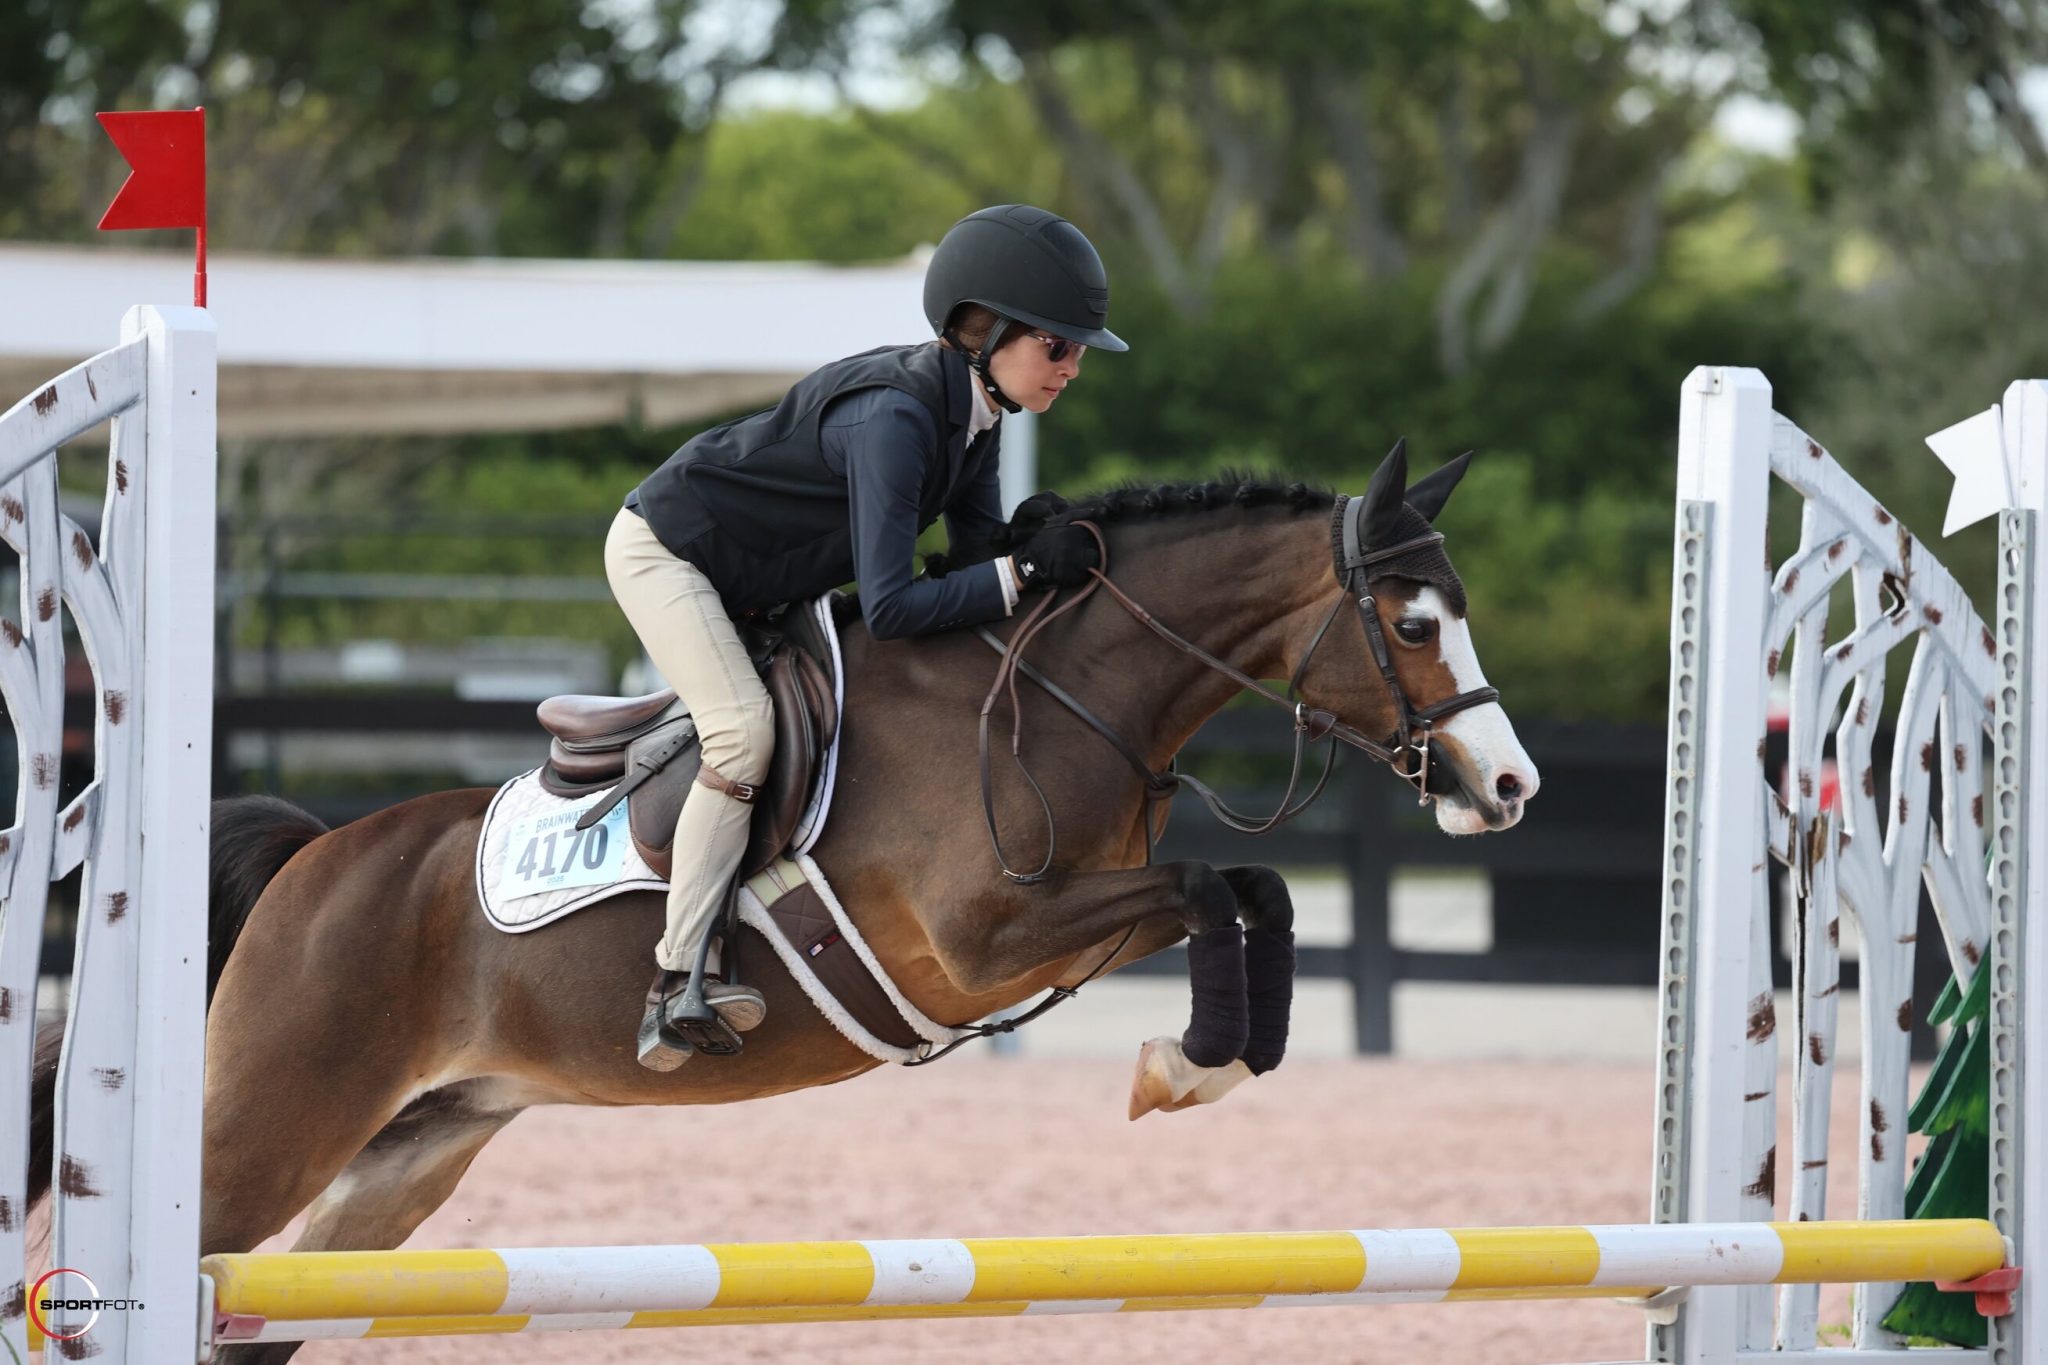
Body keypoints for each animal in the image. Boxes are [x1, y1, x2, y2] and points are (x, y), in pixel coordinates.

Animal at [27, 443, 1538, 1364]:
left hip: (407, 1156)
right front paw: (1188, 1064)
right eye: (1414, 622)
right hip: (265, 1125)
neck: (1057, 691)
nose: (1508, 785)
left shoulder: (1071, 922)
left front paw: (1197, 1062)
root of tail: (314, 858)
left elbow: (1246, 888)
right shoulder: (980, 941)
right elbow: (1213, 880)